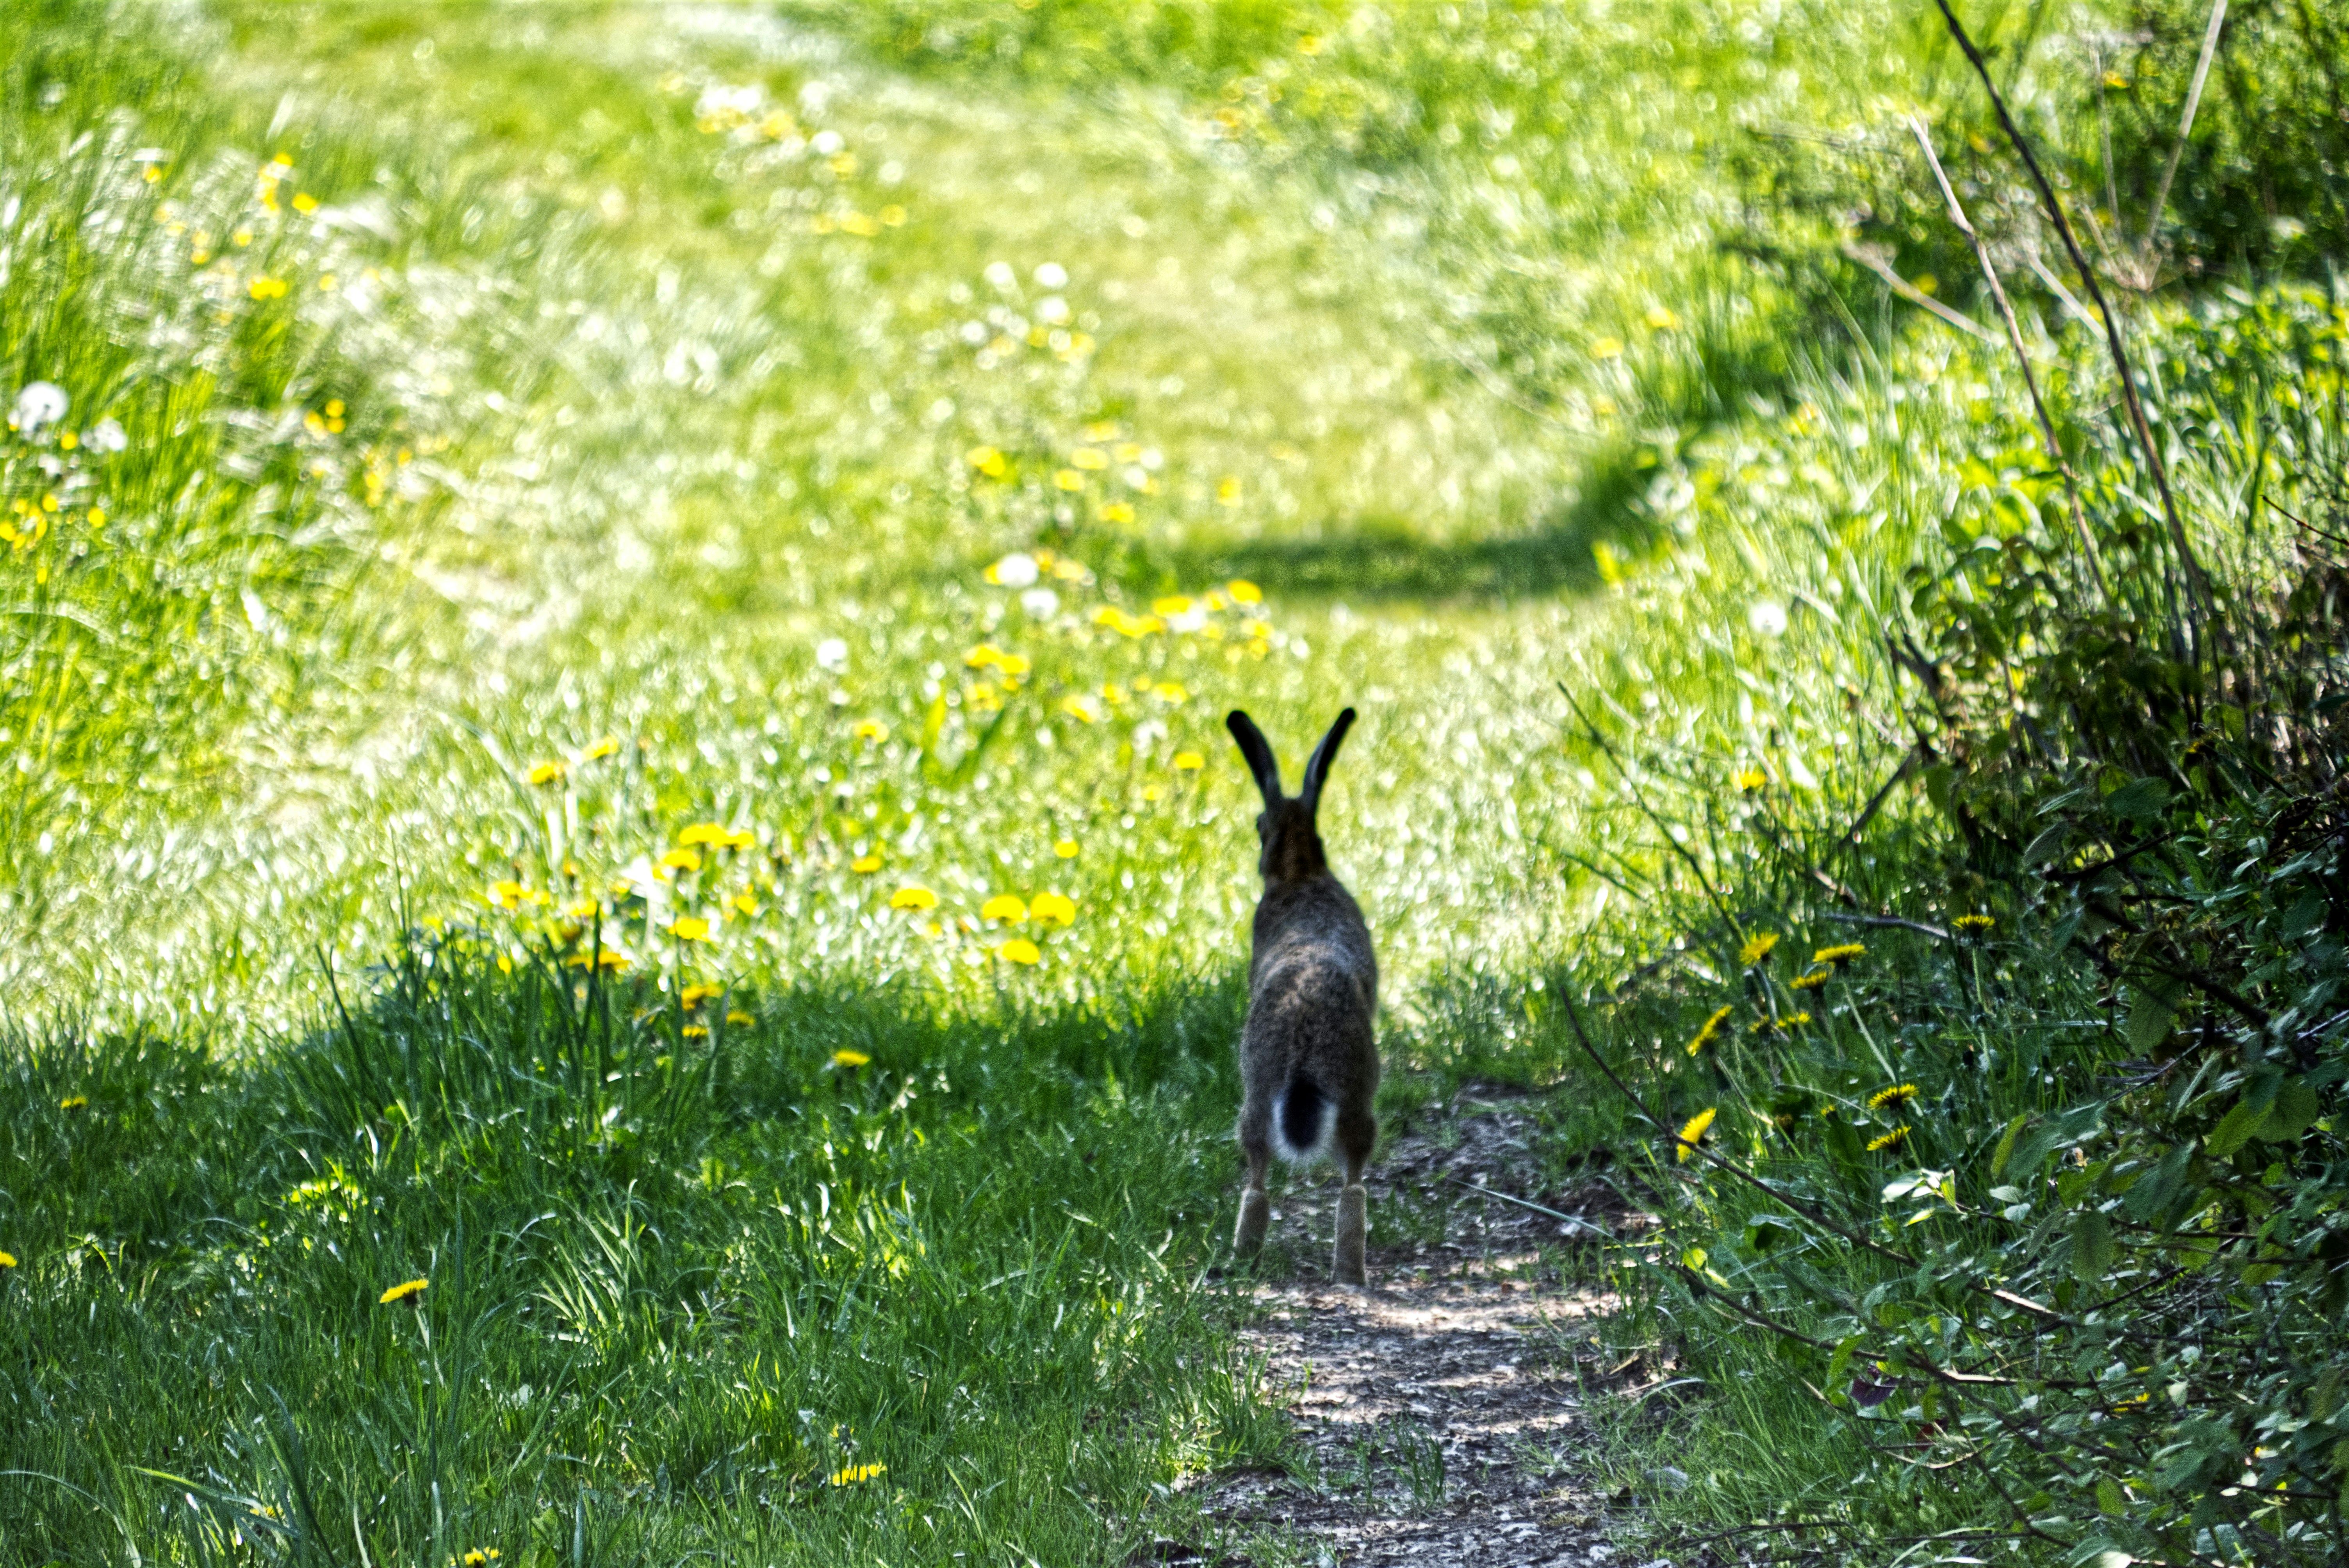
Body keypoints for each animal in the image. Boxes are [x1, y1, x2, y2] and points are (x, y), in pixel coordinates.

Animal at [1225, 707, 1380, 1286]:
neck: (1300, 869)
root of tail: (1304, 1043)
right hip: (1353, 1095)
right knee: (1349, 1184)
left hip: (1265, 1100)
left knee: (1262, 1182)